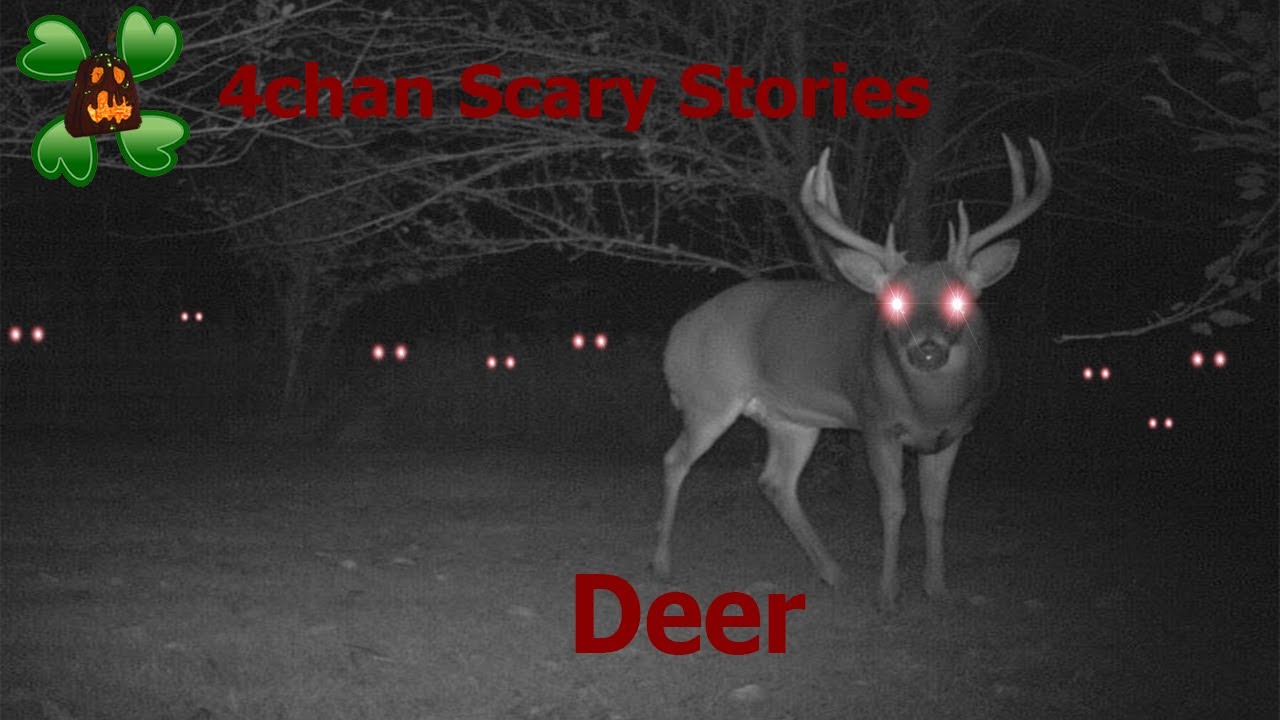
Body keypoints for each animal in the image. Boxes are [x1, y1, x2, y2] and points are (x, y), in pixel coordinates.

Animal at [652, 135, 1051, 611]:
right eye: (895, 300)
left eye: (960, 298)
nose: (927, 350)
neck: (931, 407)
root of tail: (679, 331)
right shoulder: (875, 419)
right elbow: (893, 505)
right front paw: (888, 596)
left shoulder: (955, 432)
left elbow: (935, 507)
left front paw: (938, 588)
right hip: (709, 396)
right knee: (676, 459)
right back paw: (661, 564)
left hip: (793, 420)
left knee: (775, 482)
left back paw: (833, 572)